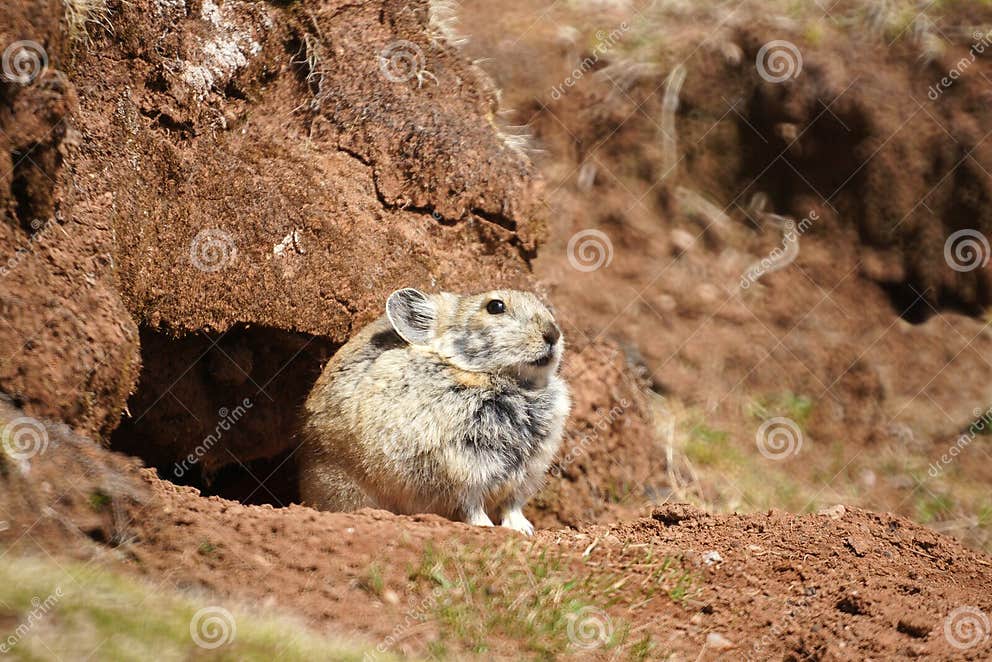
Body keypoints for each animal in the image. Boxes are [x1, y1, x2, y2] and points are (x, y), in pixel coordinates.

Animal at [299, 288, 571, 535]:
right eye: (495, 306)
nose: (552, 334)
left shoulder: (524, 474)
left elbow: (511, 506)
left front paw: (524, 529)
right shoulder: (460, 472)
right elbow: (471, 506)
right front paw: (485, 527)